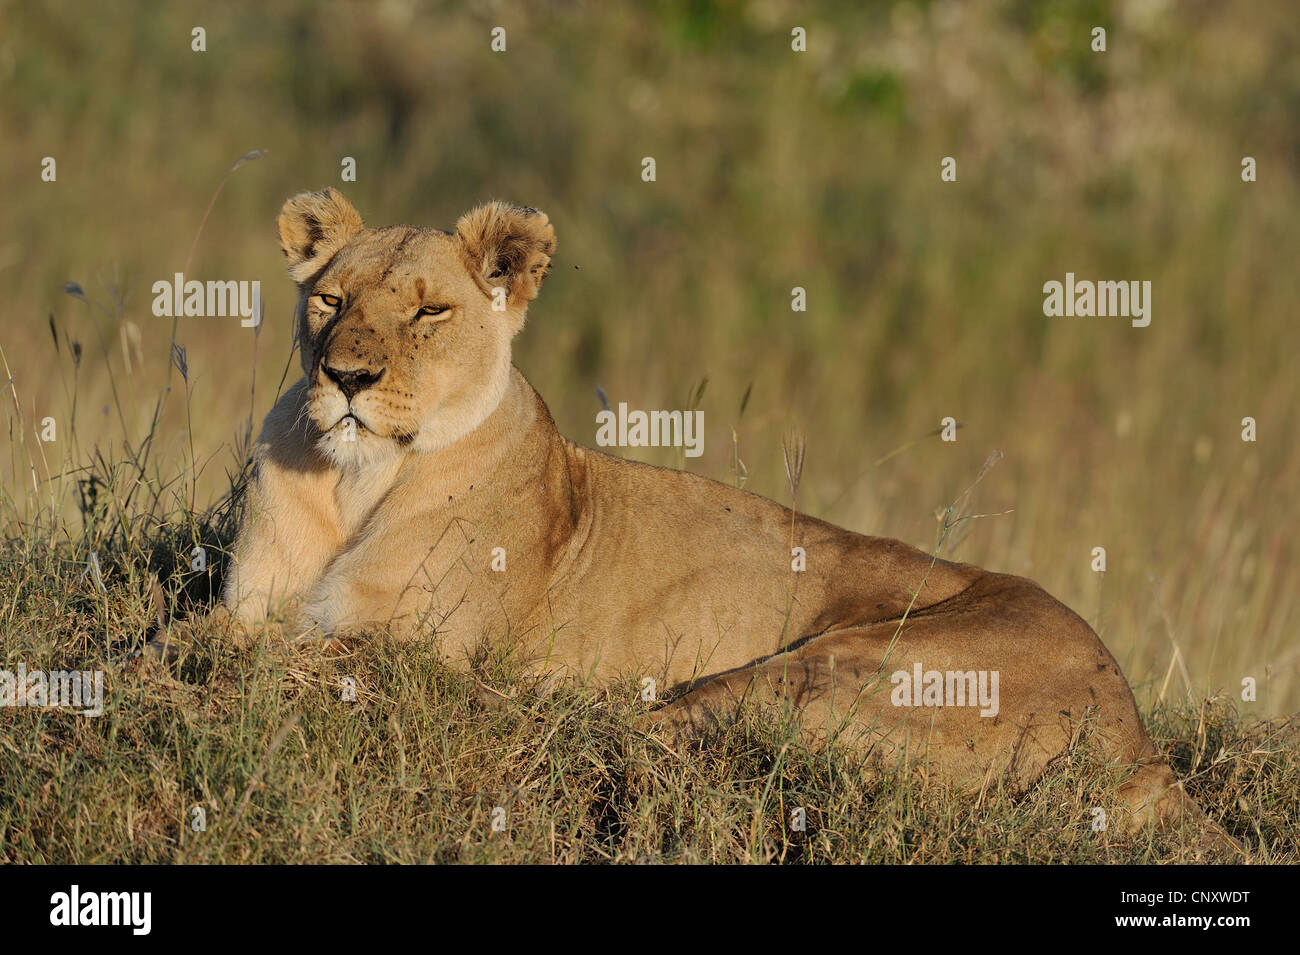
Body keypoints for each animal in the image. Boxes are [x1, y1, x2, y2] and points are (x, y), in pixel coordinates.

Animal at [218, 187, 1235, 852]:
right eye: (330, 299)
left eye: (428, 310)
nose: (347, 377)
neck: (355, 485)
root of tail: (1146, 746)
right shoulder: (253, 601)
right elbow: (220, 629)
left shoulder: (404, 645)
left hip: (834, 667)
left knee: (643, 727)